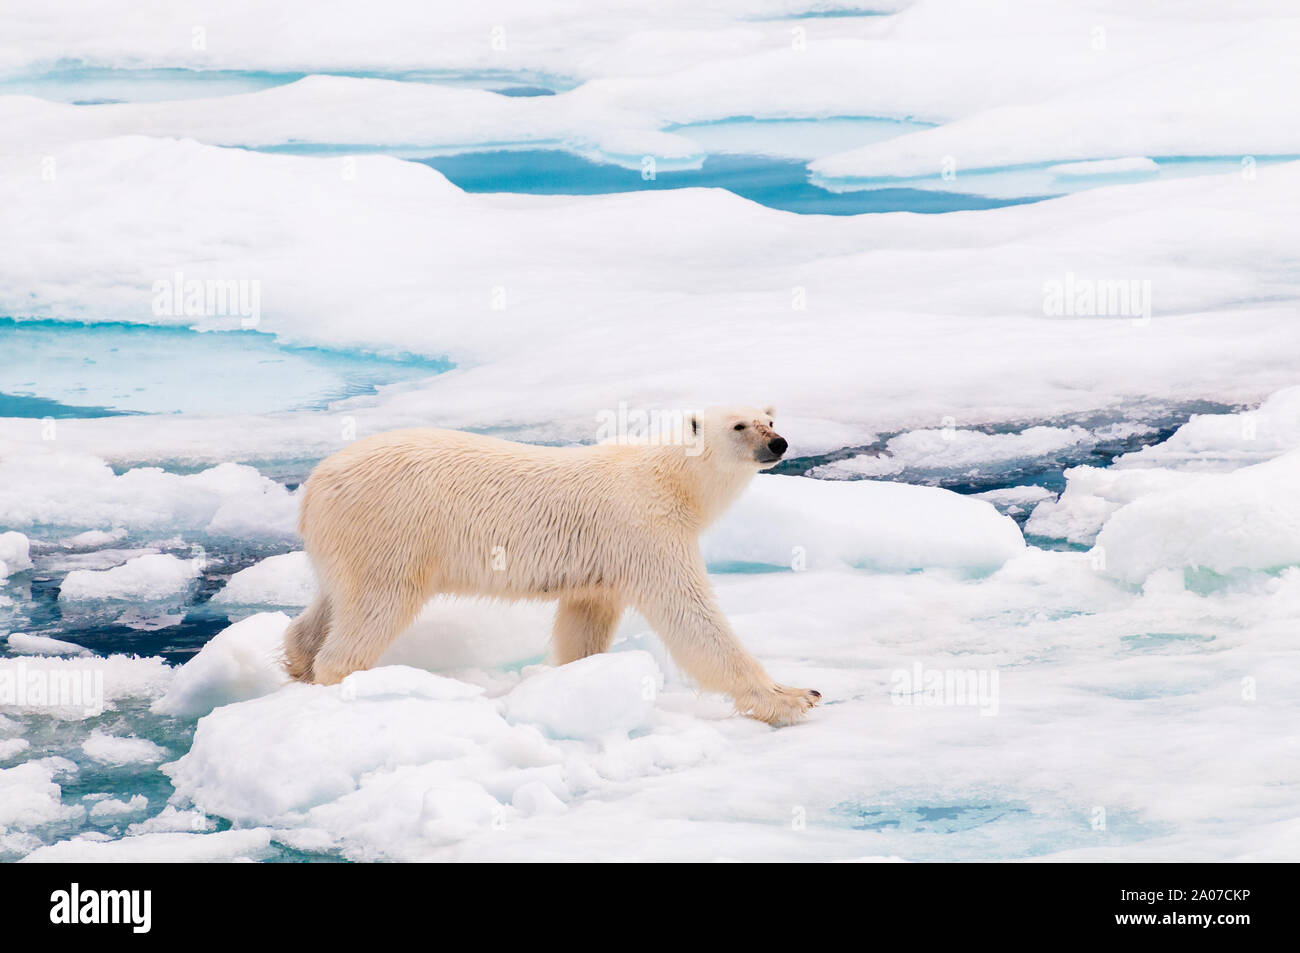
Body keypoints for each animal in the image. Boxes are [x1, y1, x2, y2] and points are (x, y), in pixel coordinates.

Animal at [282, 405, 821, 726]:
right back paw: (341, 678)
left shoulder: (603, 564)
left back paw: (299, 661)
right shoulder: (646, 531)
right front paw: (793, 695)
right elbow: (692, 616)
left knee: (331, 602)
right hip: (391, 529)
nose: (778, 444)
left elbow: (585, 622)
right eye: (738, 425)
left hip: (344, 542)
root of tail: (315, 484)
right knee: (376, 605)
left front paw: (578, 683)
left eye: (769, 418)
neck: (671, 480)